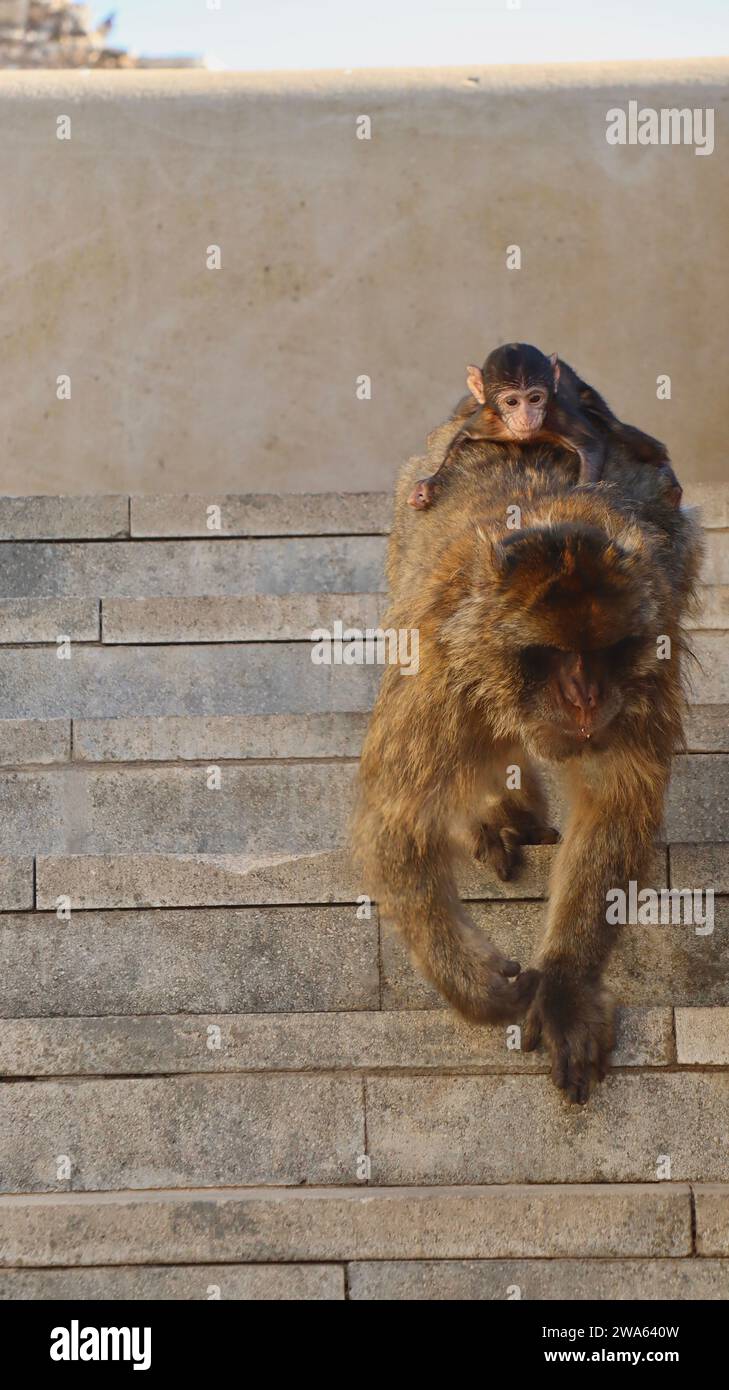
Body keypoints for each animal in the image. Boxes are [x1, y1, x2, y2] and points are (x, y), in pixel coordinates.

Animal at [354, 433, 701, 1103]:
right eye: (556, 653)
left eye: (602, 650)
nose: (586, 696)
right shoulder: (438, 667)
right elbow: (395, 821)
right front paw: (471, 985)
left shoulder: (652, 660)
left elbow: (613, 807)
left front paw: (565, 984)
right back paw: (497, 810)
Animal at [408, 343, 679, 510]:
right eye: (512, 402)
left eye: (535, 398)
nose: (527, 416)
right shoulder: (488, 420)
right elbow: (462, 436)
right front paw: (427, 486)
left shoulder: (557, 415)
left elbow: (592, 445)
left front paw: (585, 496)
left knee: (620, 431)